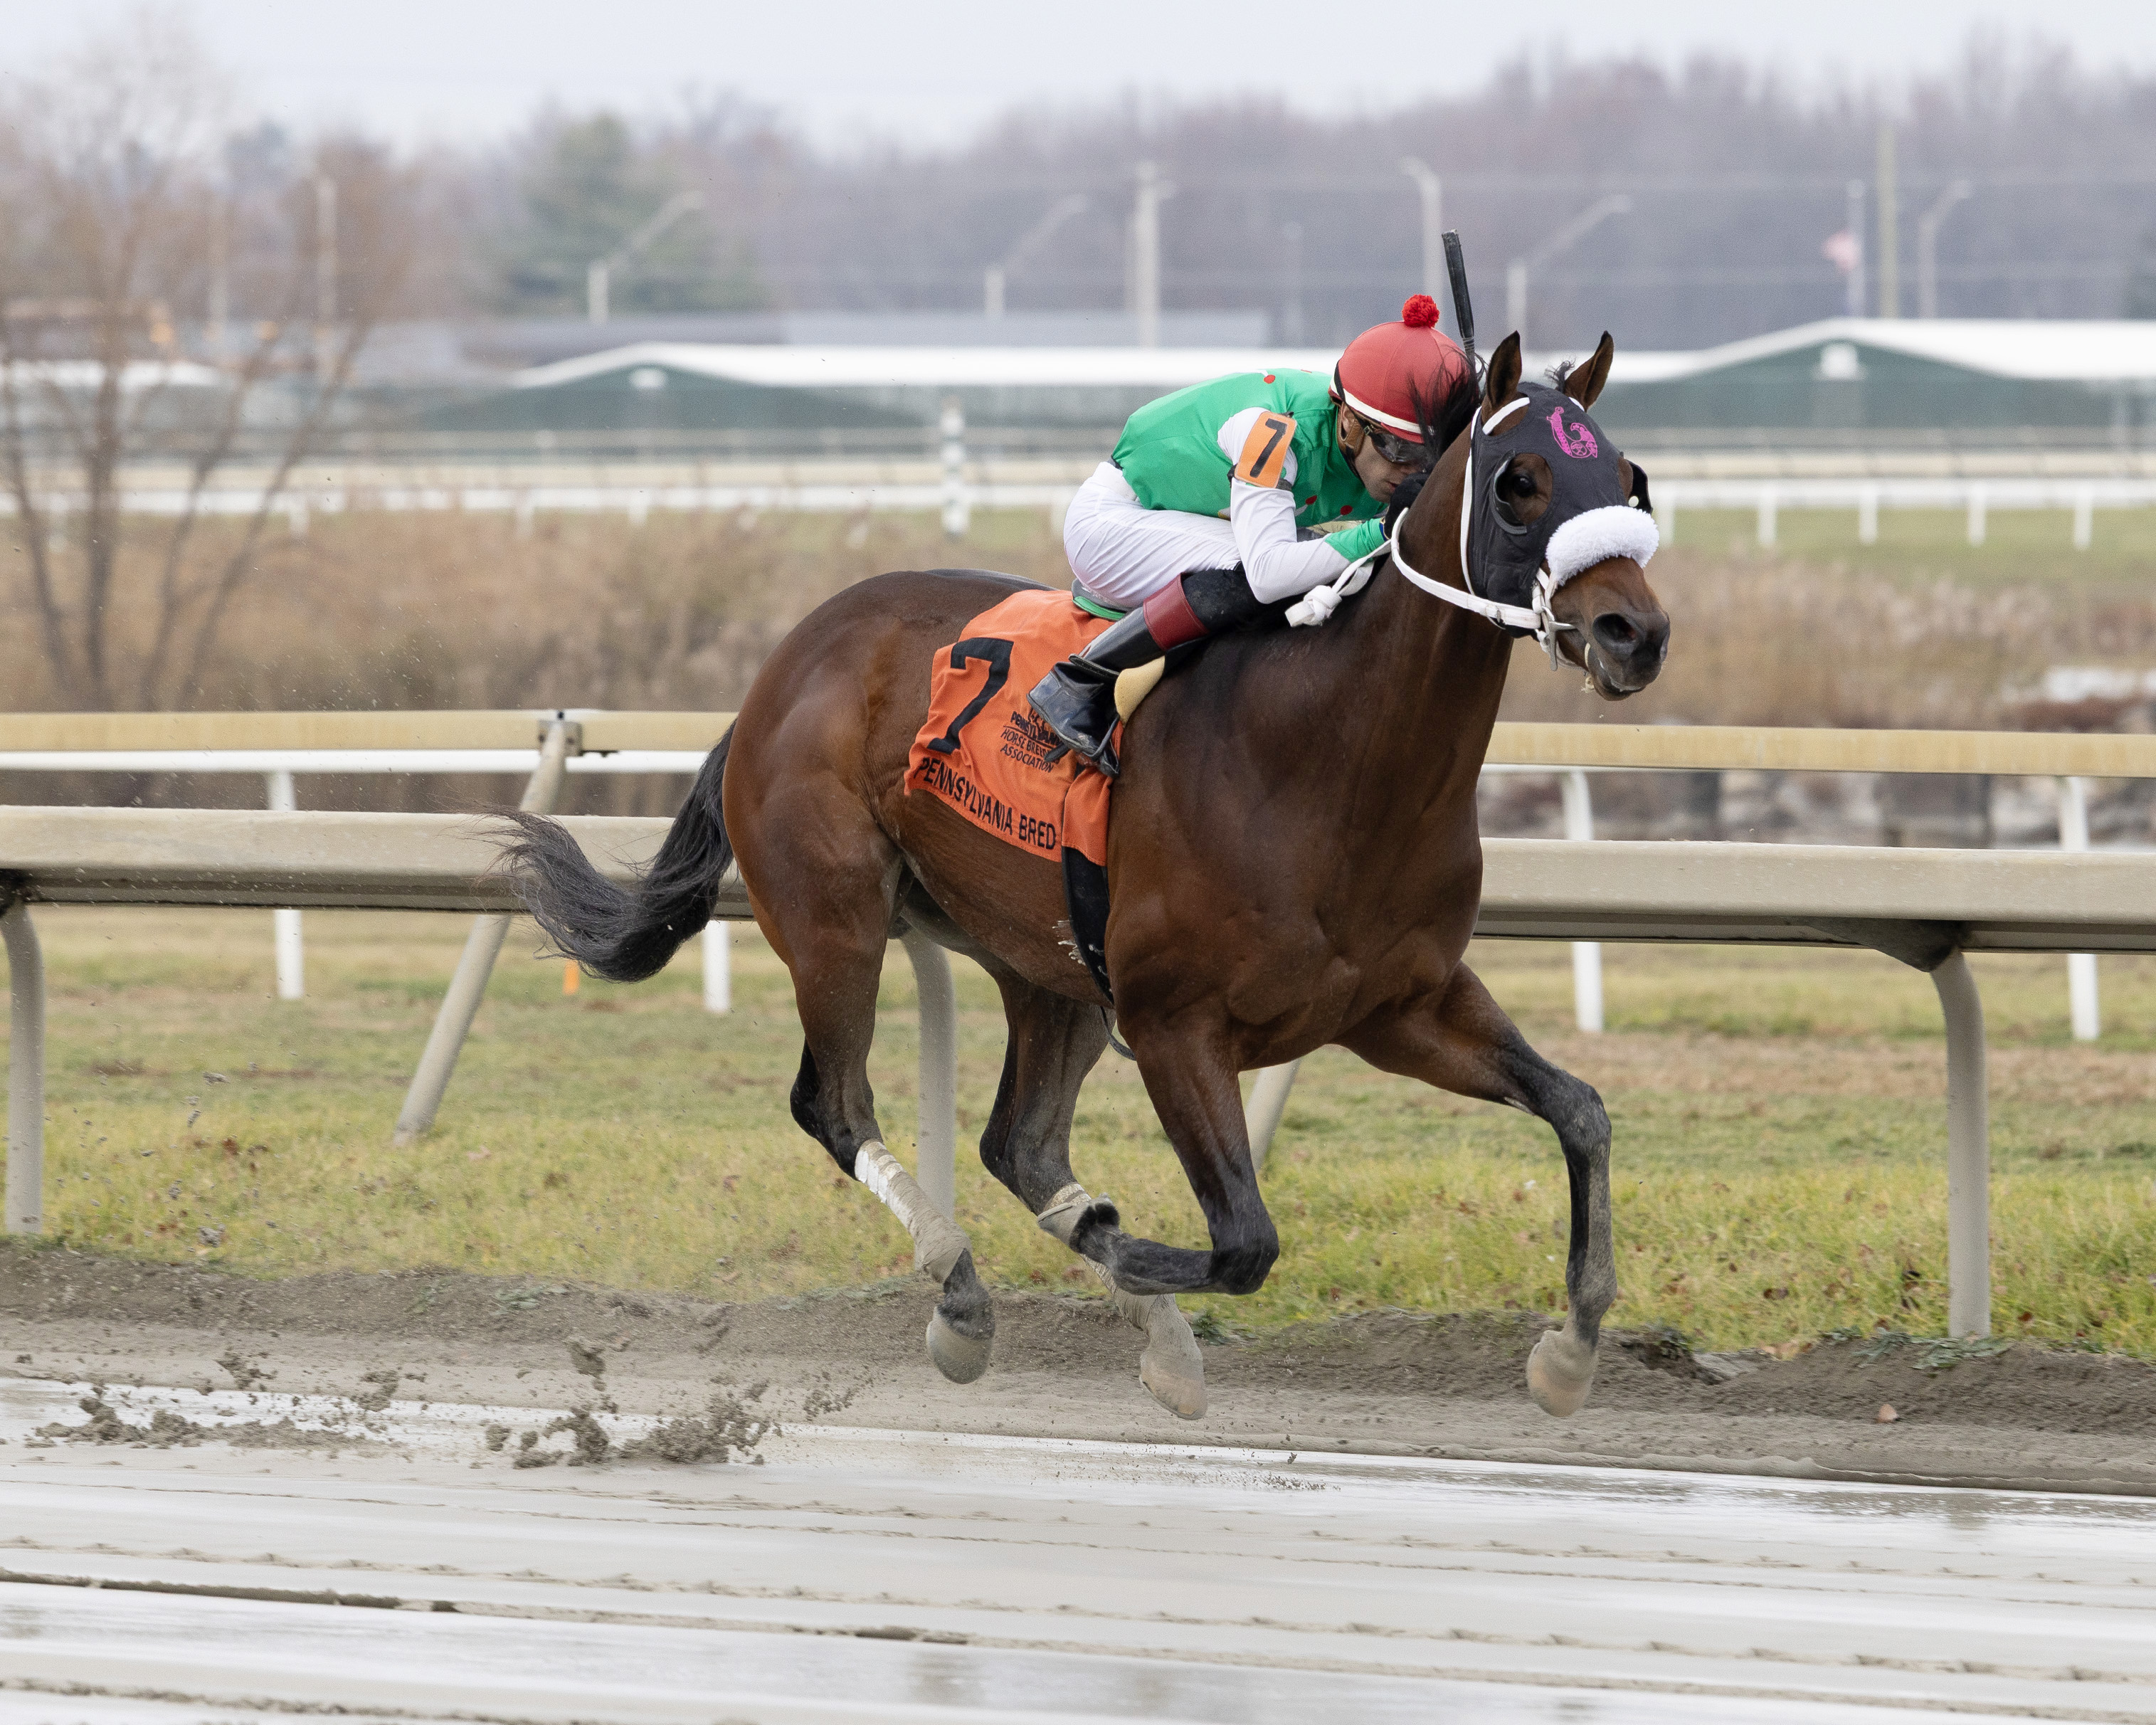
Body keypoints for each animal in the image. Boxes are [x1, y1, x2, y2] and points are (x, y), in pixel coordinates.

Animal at [501, 331, 1670, 1421]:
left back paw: (1139, 1327)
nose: (1635, 633)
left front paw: (1569, 1353)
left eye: (1629, 478)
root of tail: (780, 668)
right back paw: (963, 1294)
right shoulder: (1174, 1025)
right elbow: (1244, 1242)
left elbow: (1581, 1112)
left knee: (1017, 1144)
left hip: (1046, 965)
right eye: (1517, 481)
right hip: (834, 918)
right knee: (835, 1106)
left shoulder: (1400, 1006)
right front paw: (1129, 1254)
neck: (1330, 758)